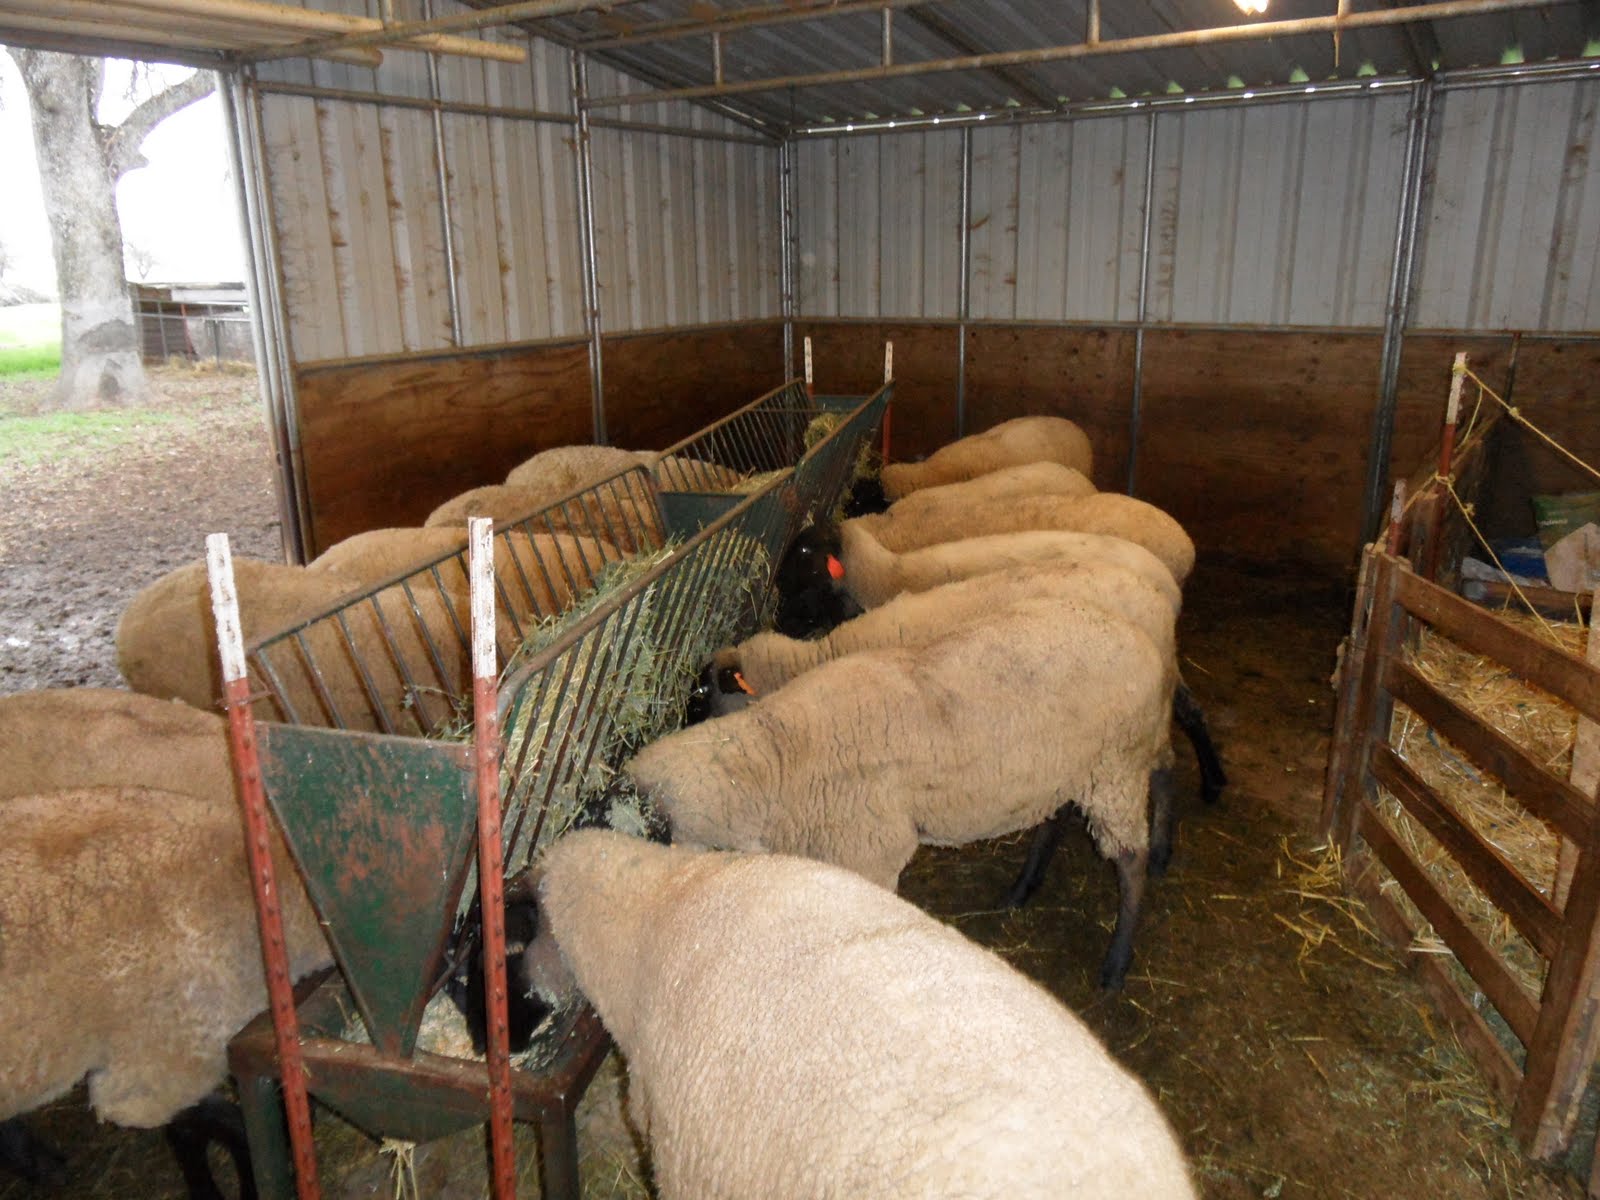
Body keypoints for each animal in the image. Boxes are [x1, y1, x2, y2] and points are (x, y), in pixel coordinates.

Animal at [628, 597, 1171, 988]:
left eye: (700, 697)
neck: (782, 757)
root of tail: (1141, 638)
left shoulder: (874, 854)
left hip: (1117, 766)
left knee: (1130, 859)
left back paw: (1116, 963)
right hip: (1063, 764)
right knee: (1055, 818)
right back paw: (1021, 889)